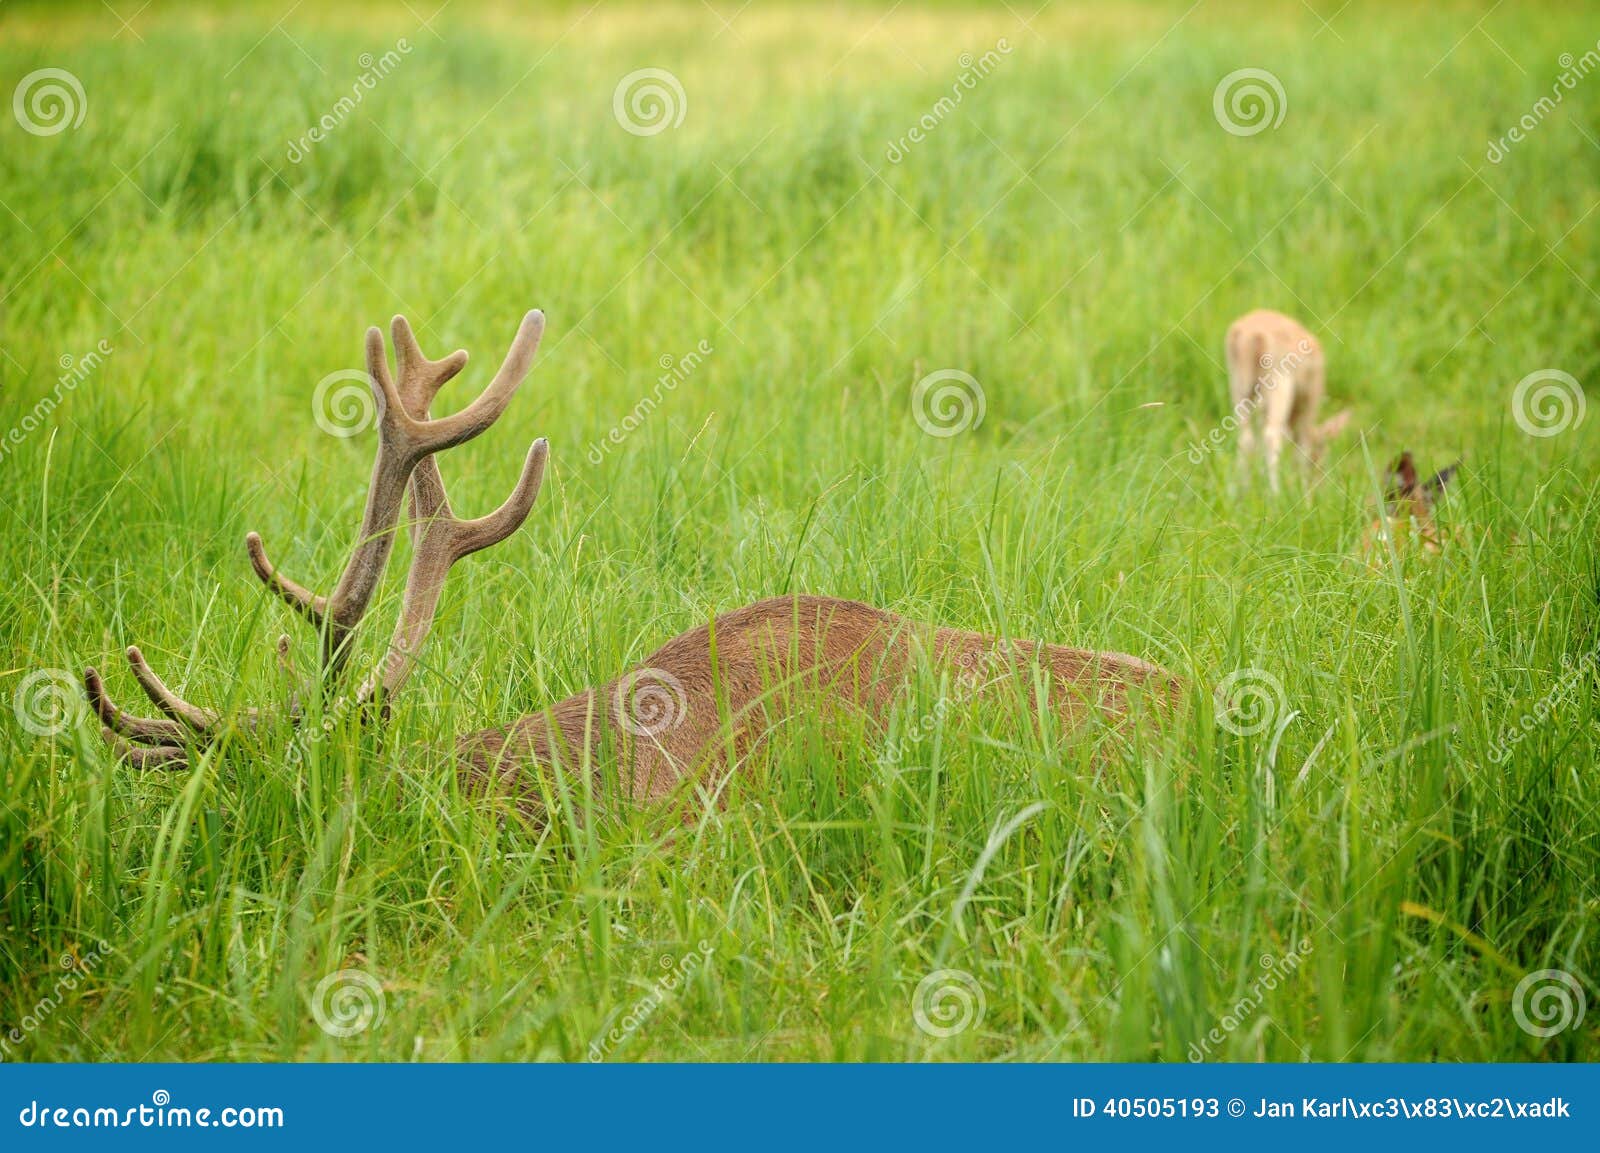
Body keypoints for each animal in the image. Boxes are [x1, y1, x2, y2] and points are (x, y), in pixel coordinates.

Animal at [1224, 309, 1351, 492]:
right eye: (1322, 451)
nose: (1320, 483)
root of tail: (1250, 336)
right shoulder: (1310, 401)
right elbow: (1301, 448)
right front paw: (1303, 489)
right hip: (1279, 381)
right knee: (1271, 435)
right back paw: (1275, 492)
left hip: (1237, 384)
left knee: (1246, 438)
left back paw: (1242, 490)